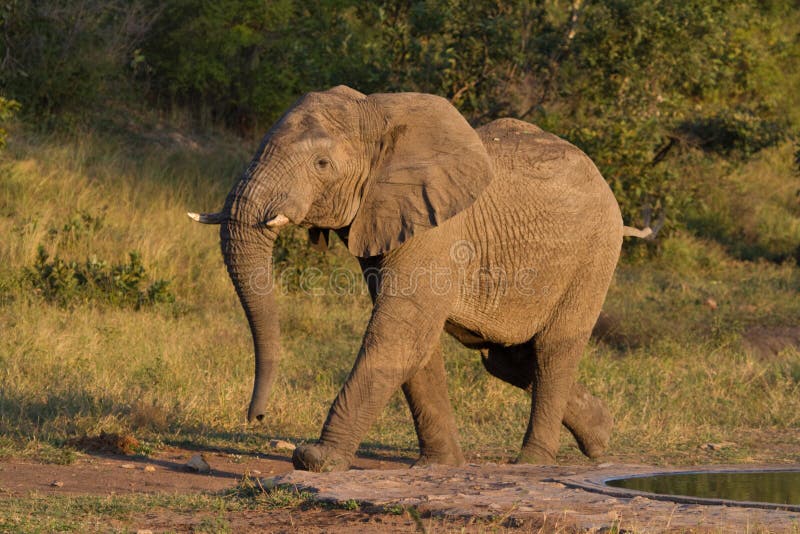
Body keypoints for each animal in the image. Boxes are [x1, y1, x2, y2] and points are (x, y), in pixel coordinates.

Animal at [189, 85, 626, 472]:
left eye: (322, 165)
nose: (257, 418)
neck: (376, 114)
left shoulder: (436, 228)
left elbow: (399, 332)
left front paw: (316, 460)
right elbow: (417, 342)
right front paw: (438, 465)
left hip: (595, 253)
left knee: (553, 352)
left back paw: (534, 461)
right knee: (508, 360)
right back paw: (601, 433)